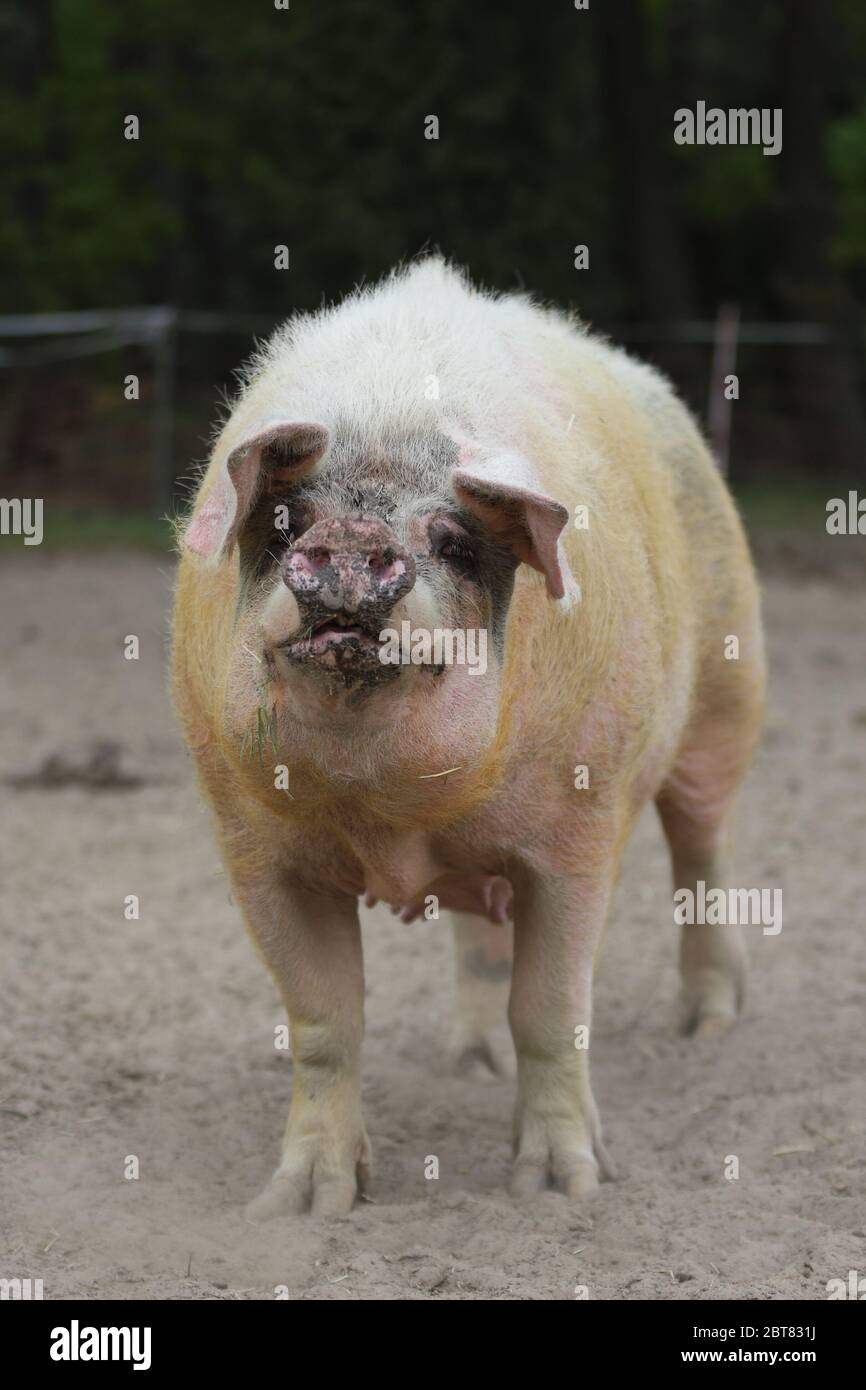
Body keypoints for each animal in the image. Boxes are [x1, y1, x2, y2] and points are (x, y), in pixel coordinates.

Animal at [172, 258, 765, 1216]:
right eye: (288, 520)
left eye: (451, 540)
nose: (354, 535)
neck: (390, 818)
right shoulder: (253, 847)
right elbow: (325, 1020)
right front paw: (301, 1206)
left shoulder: (579, 834)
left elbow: (553, 1013)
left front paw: (565, 1188)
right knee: (483, 934)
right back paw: (469, 1065)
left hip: (729, 686)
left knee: (701, 849)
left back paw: (707, 1030)